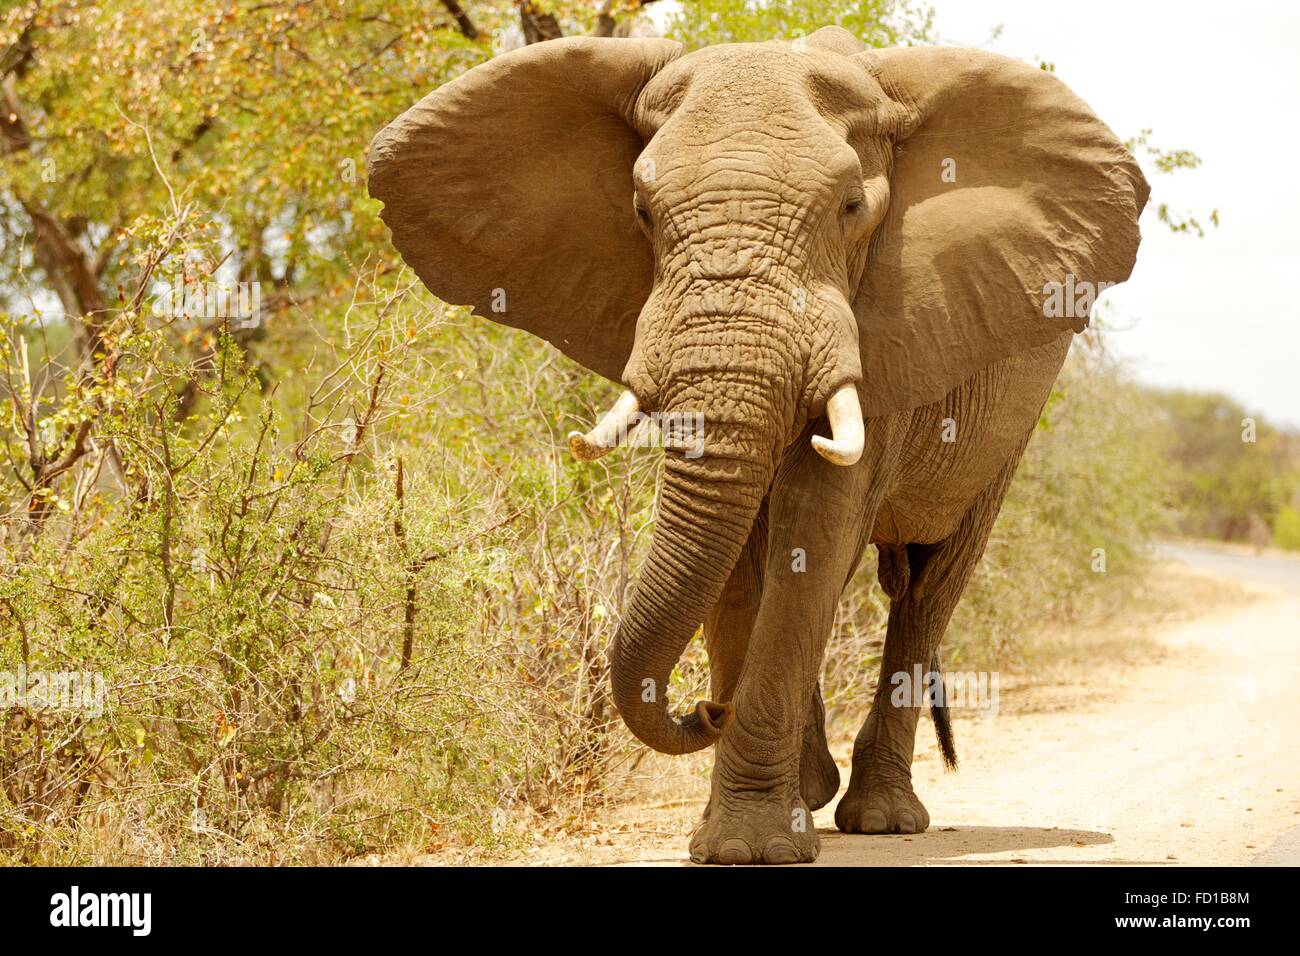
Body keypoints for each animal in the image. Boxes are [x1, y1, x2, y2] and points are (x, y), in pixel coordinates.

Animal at [367, 26, 1148, 864]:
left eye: (850, 208)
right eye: (641, 211)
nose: (704, 711)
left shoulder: (882, 322)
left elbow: (817, 529)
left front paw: (749, 843)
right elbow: (741, 562)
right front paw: (740, 830)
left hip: (1014, 413)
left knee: (933, 581)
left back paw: (880, 817)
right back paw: (815, 788)